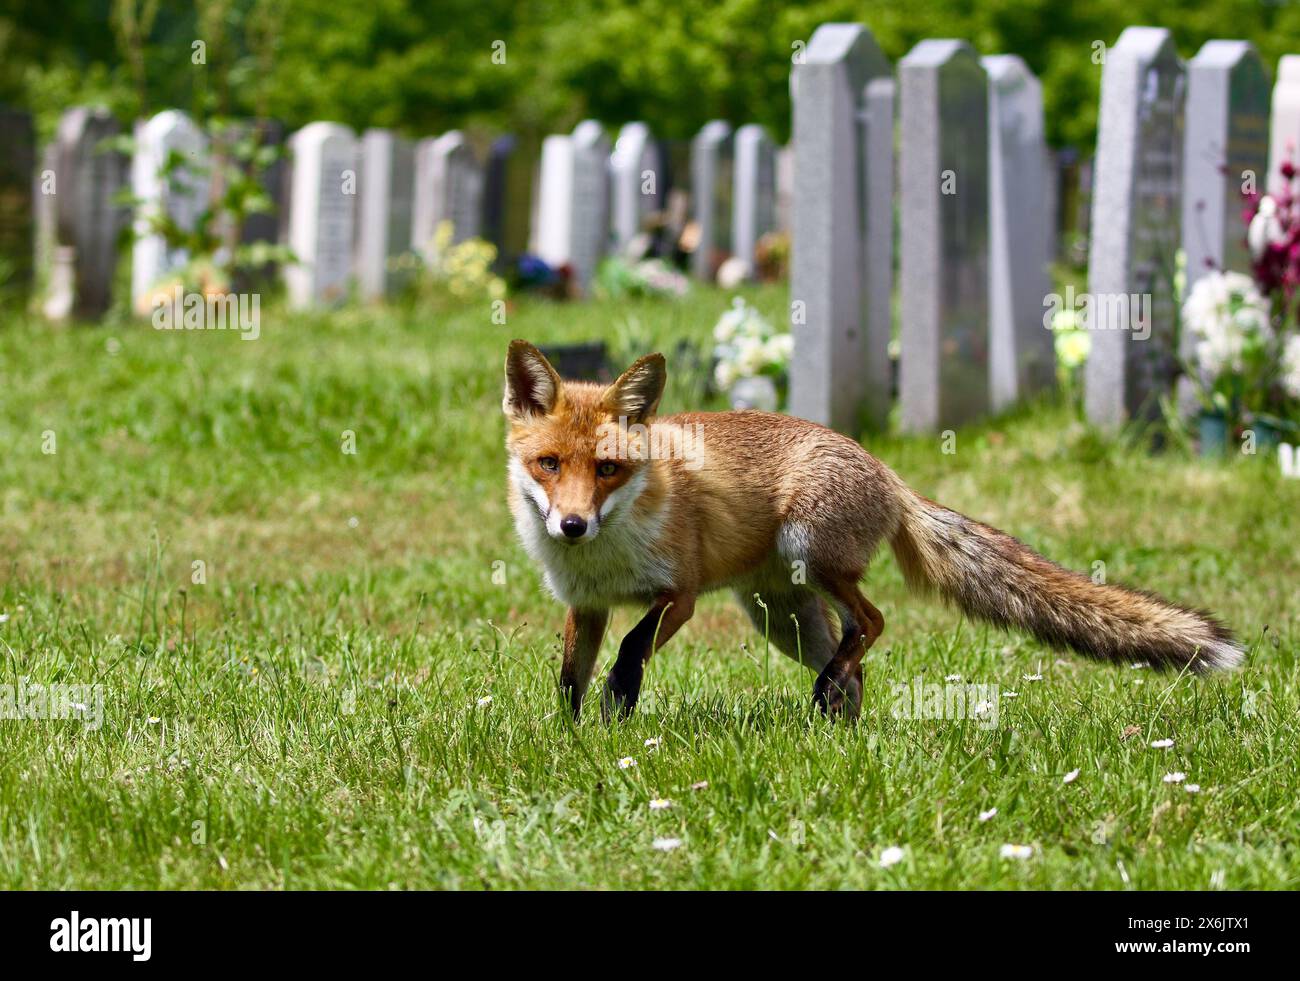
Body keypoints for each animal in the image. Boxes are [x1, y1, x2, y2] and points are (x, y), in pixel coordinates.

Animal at [502, 340, 1244, 721]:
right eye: (549, 464)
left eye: (607, 468)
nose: (572, 525)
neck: (606, 553)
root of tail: (887, 470)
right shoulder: (586, 605)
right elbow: (569, 678)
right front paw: (572, 739)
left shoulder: (677, 594)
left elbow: (631, 648)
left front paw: (618, 704)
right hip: (782, 616)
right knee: (854, 658)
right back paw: (838, 724)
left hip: (809, 555)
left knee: (874, 621)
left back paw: (830, 702)